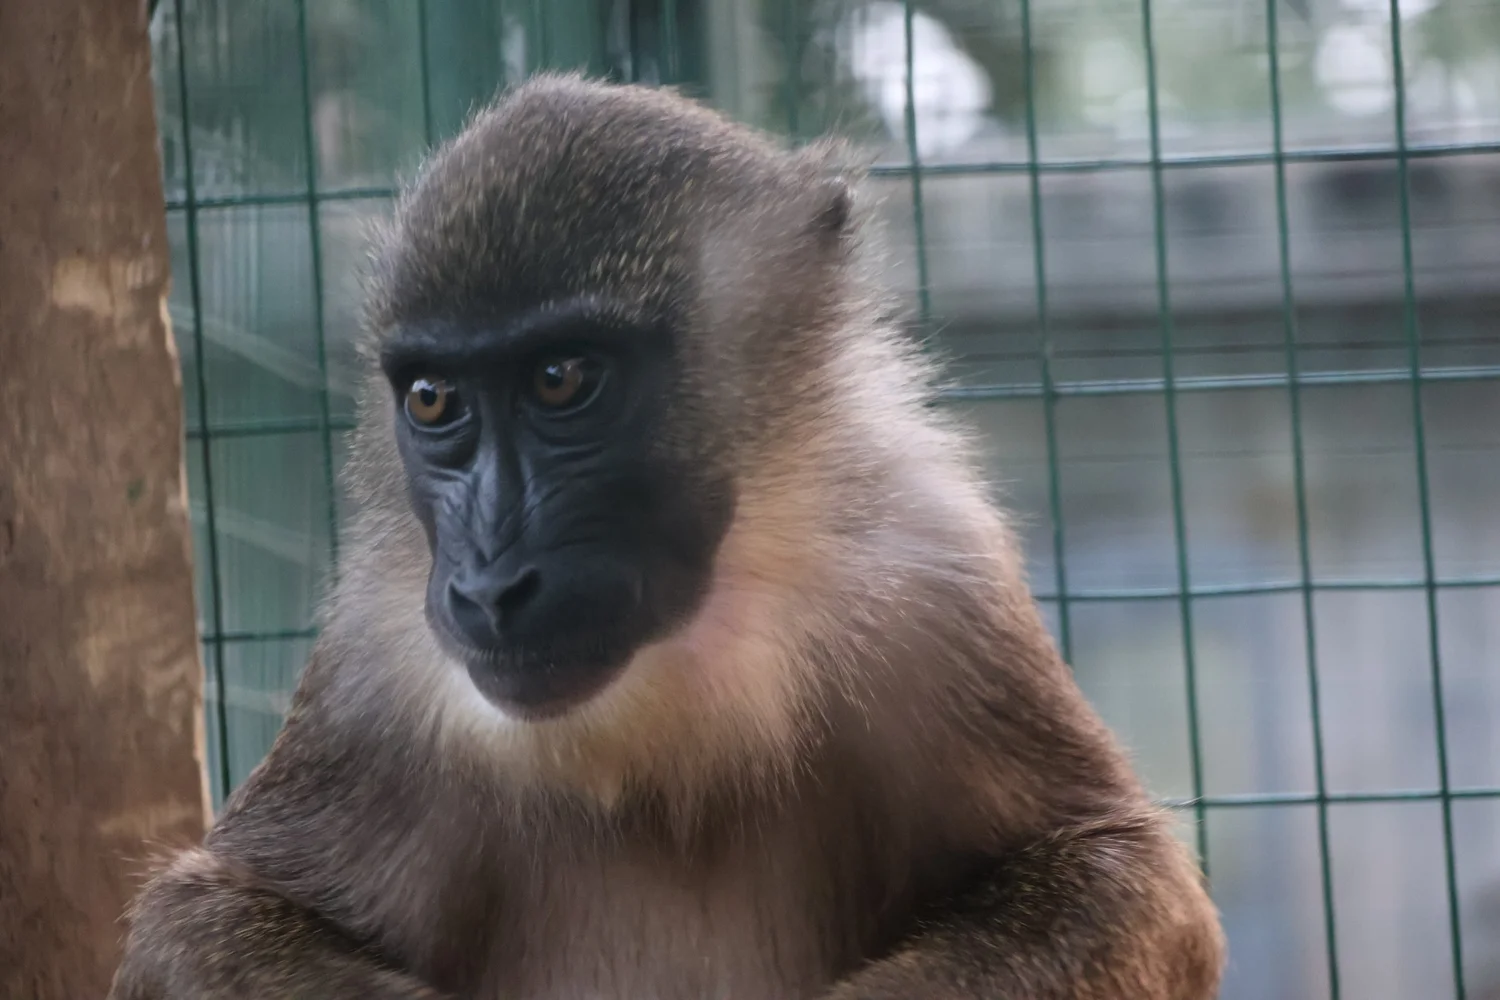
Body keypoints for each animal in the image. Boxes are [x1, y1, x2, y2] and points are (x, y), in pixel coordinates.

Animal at [109, 74, 1225, 1000]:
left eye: (562, 379)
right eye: (434, 401)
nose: (491, 583)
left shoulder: (932, 571)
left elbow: (1126, 874)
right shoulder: (375, 655)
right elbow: (190, 918)